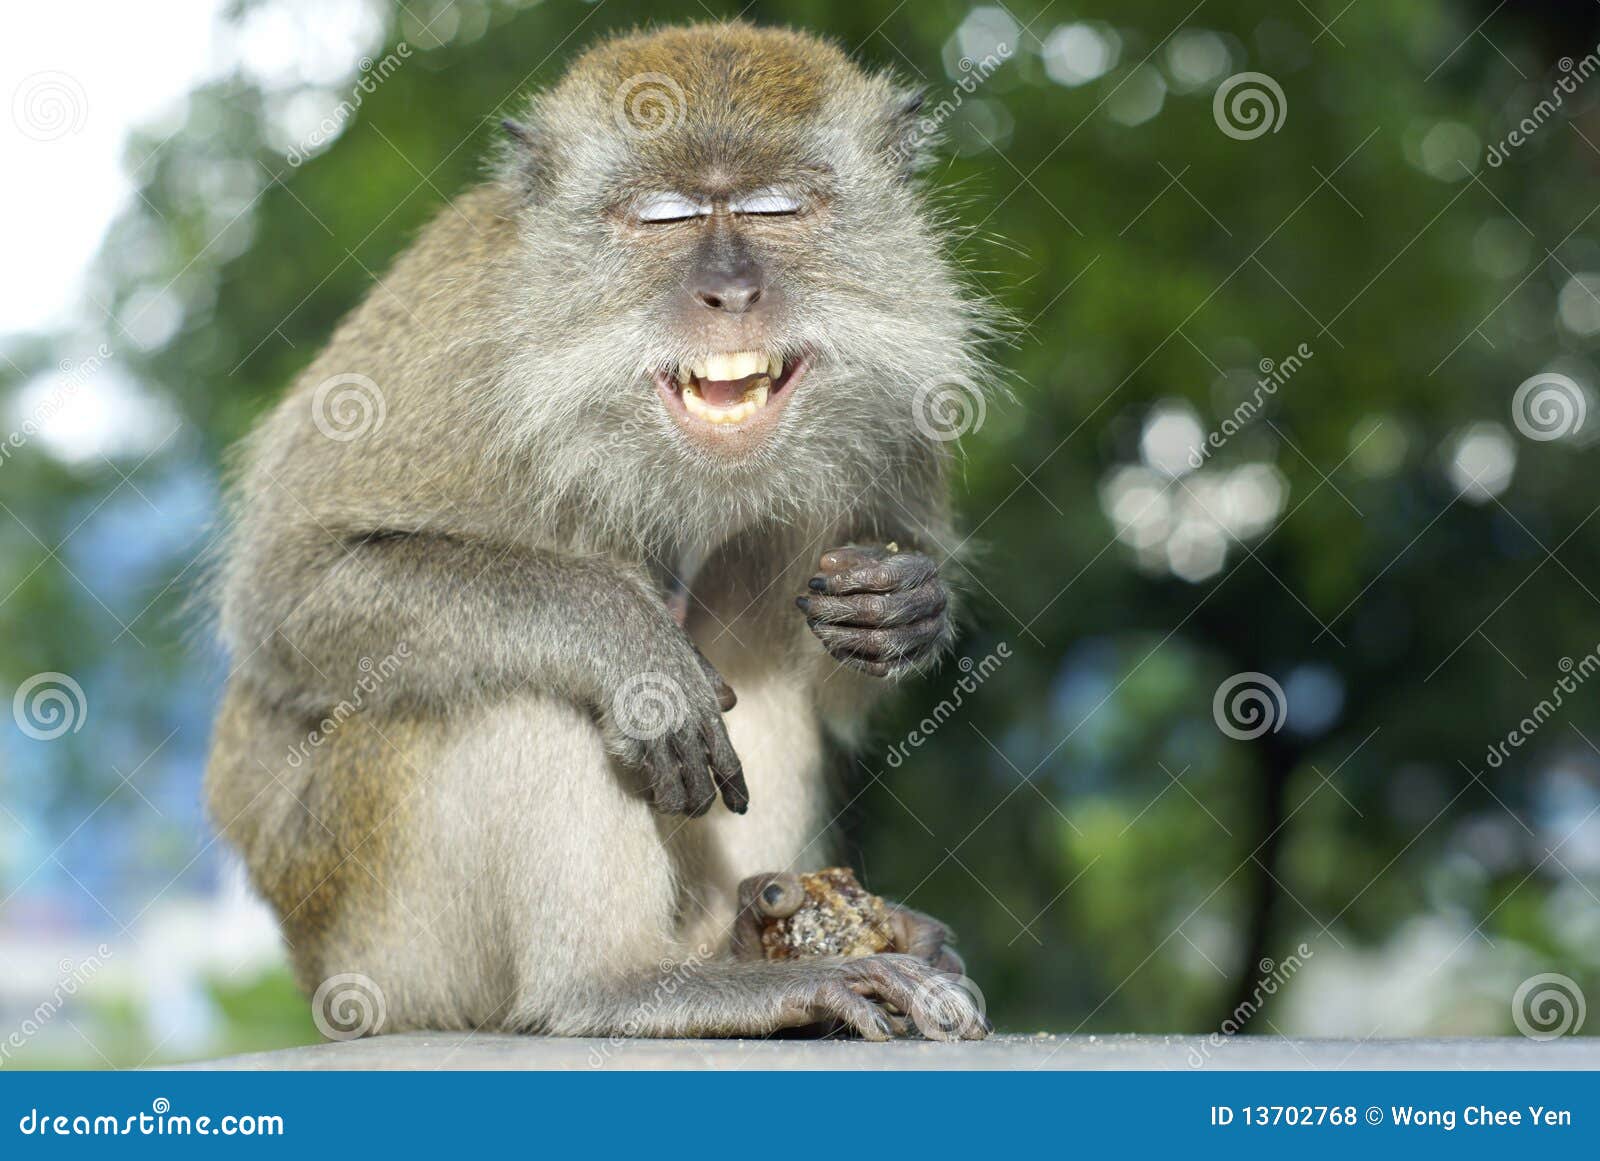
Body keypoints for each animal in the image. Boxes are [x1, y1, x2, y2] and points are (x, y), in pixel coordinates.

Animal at [204, 20, 992, 1041]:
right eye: (666, 219)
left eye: (775, 209)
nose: (731, 291)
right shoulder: (459, 339)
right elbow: (289, 592)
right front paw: (625, 642)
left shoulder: (902, 408)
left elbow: (837, 665)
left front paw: (905, 605)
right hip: (384, 944)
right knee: (515, 685)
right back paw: (617, 982)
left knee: (760, 567)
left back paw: (744, 936)